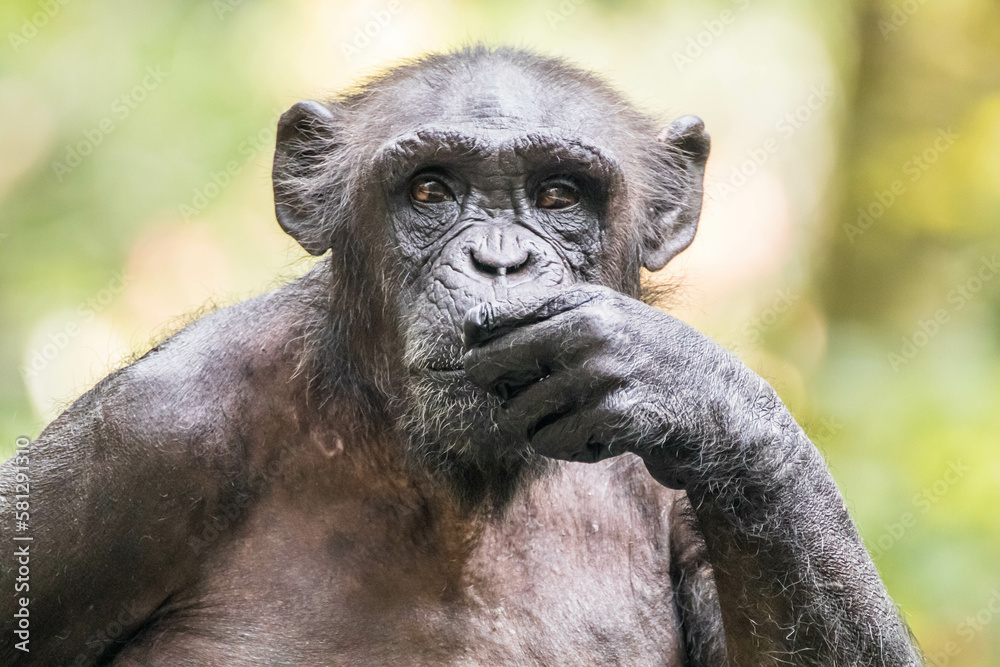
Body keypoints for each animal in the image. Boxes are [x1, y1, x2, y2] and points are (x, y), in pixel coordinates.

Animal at [0, 46, 920, 666]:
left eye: (558, 194)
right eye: (432, 190)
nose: (500, 260)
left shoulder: (704, 500)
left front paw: (685, 383)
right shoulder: (143, 438)